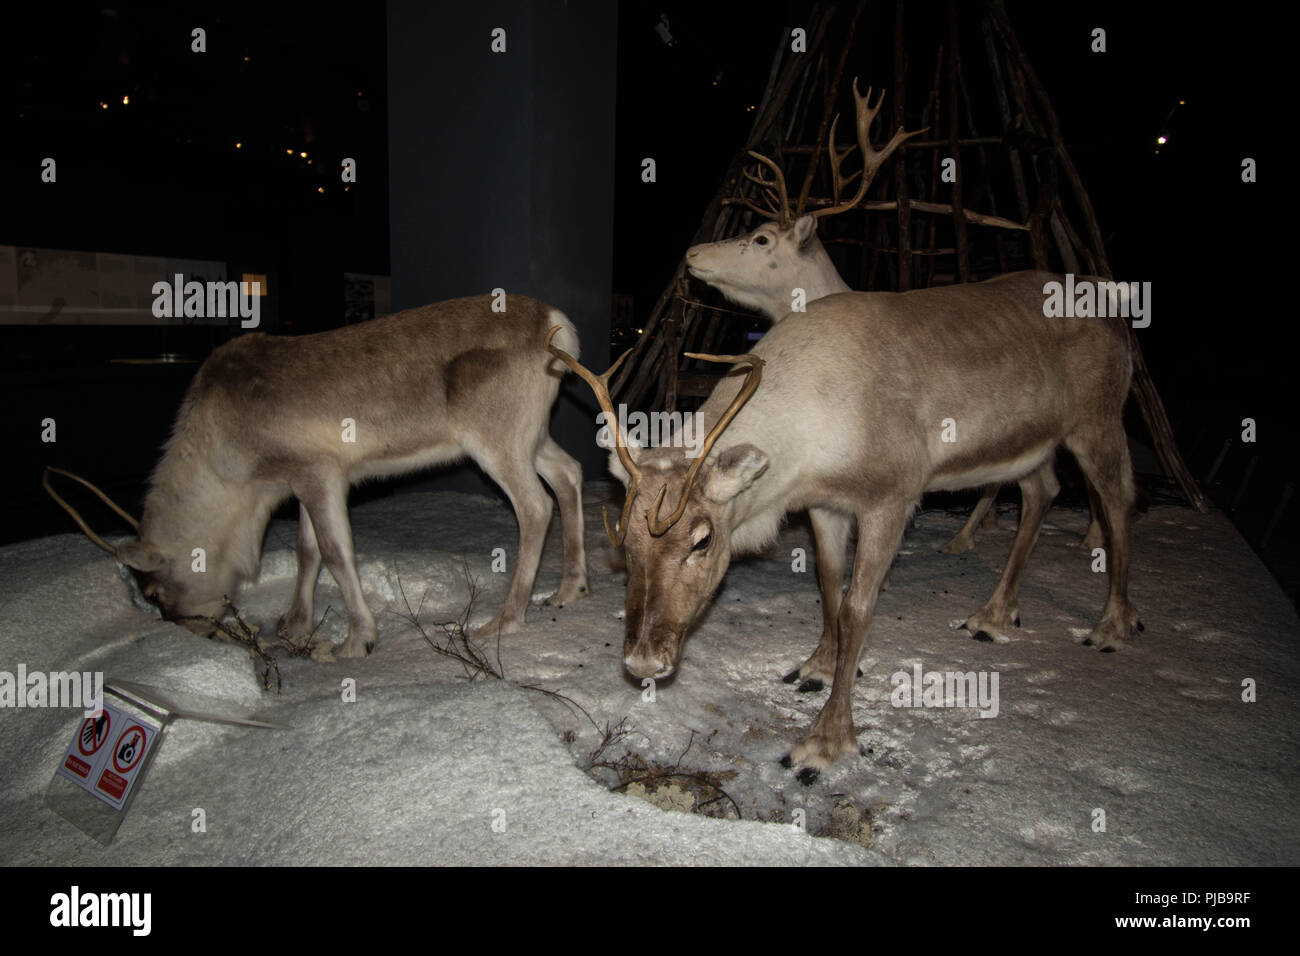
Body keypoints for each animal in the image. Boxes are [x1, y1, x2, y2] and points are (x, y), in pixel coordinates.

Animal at [48, 295, 590, 658]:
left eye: (155, 592)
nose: (193, 632)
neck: (233, 474)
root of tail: (556, 325)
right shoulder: (308, 477)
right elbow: (305, 550)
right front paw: (293, 624)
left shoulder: (317, 471)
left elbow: (334, 551)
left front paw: (356, 641)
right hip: (532, 435)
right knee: (570, 472)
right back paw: (569, 589)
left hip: (497, 440)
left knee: (535, 505)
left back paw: (504, 620)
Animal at [547, 273, 1141, 783]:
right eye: (624, 540)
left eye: (704, 539)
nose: (643, 660)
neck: (806, 441)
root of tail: (1114, 305)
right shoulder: (825, 503)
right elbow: (829, 583)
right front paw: (819, 666)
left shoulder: (893, 495)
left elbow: (858, 607)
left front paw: (825, 743)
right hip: (1034, 444)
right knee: (1043, 488)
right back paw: (993, 615)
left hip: (1099, 418)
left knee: (1118, 498)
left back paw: (1114, 624)